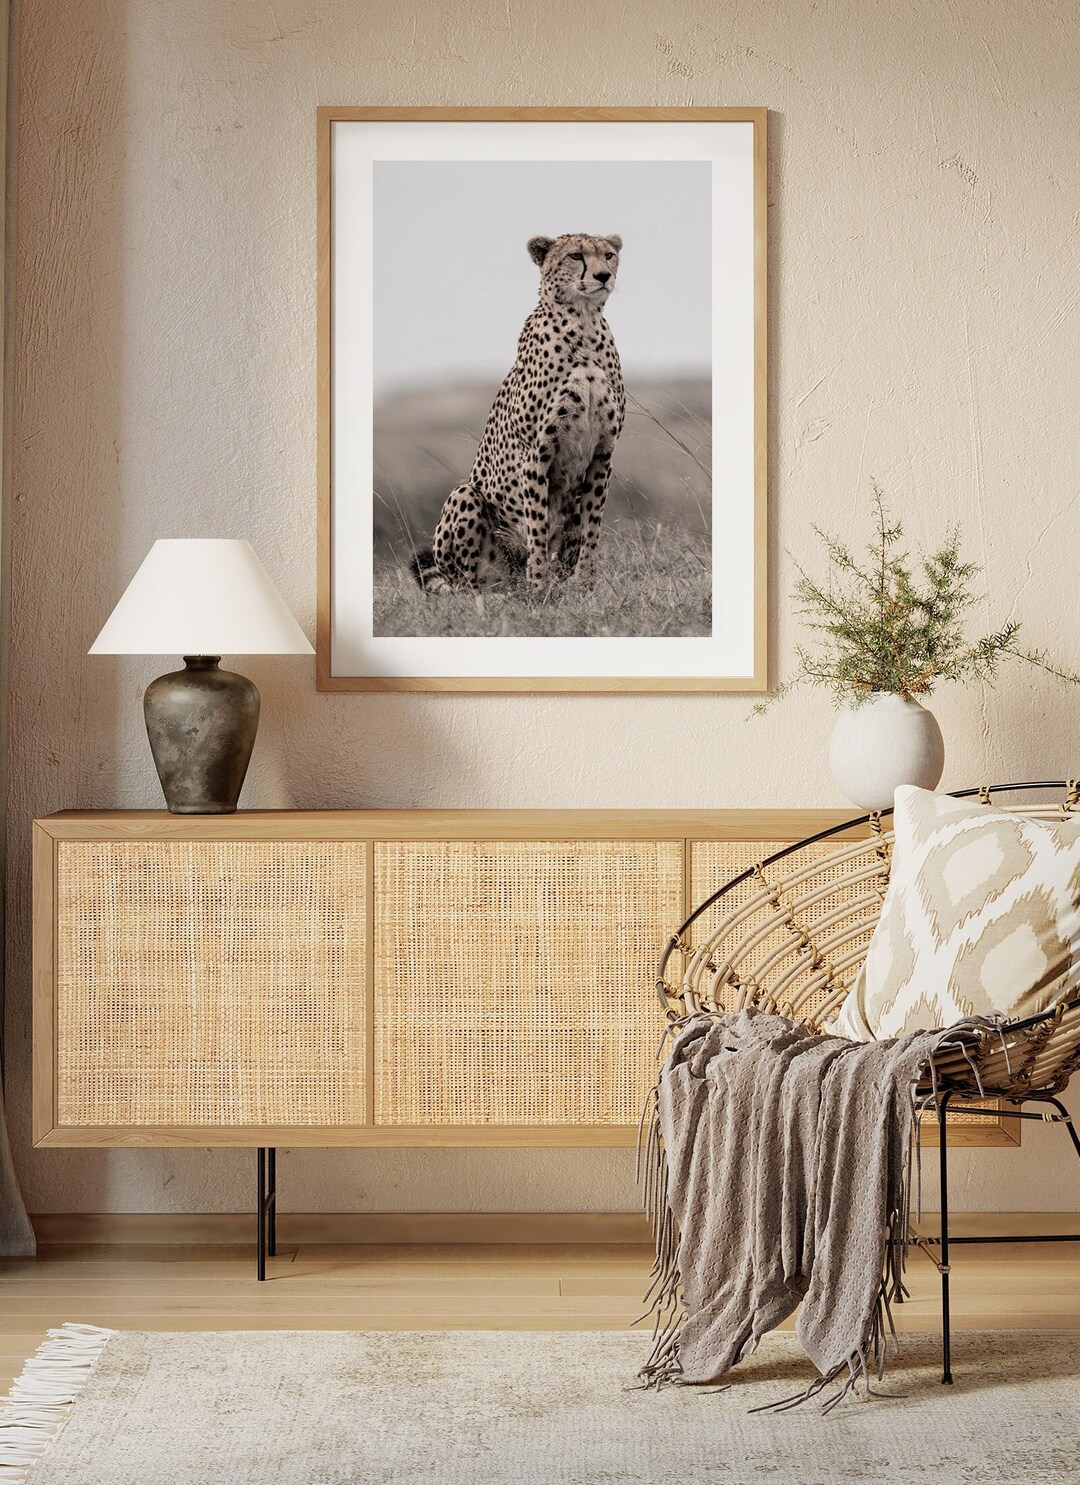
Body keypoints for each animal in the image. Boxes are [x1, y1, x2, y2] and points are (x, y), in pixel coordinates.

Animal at [411, 232, 625, 595]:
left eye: (609, 255)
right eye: (576, 256)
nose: (602, 276)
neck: (583, 322)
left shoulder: (603, 451)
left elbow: (591, 526)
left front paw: (584, 583)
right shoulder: (536, 451)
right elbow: (537, 524)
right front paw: (539, 586)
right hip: (466, 496)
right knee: (467, 584)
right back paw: (497, 592)